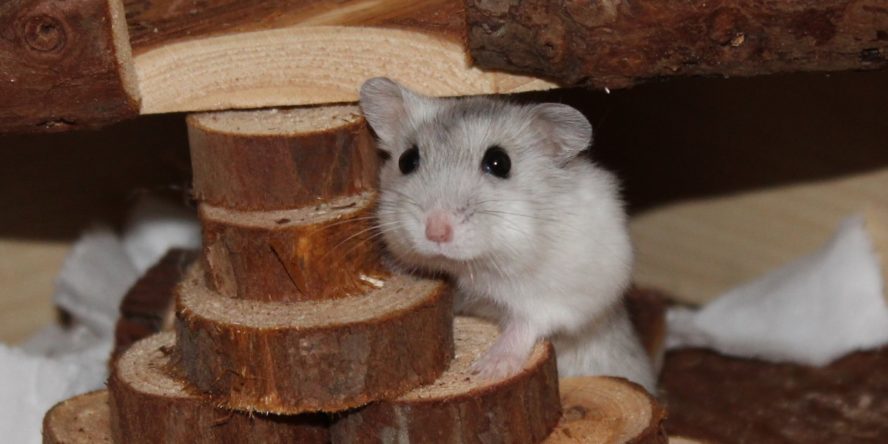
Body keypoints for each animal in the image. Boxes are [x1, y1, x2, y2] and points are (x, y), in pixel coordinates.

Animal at [359, 77, 655, 392]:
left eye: (499, 163)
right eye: (407, 160)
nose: (436, 231)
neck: (475, 265)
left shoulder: (567, 294)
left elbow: (527, 323)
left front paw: (487, 369)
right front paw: (392, 265)